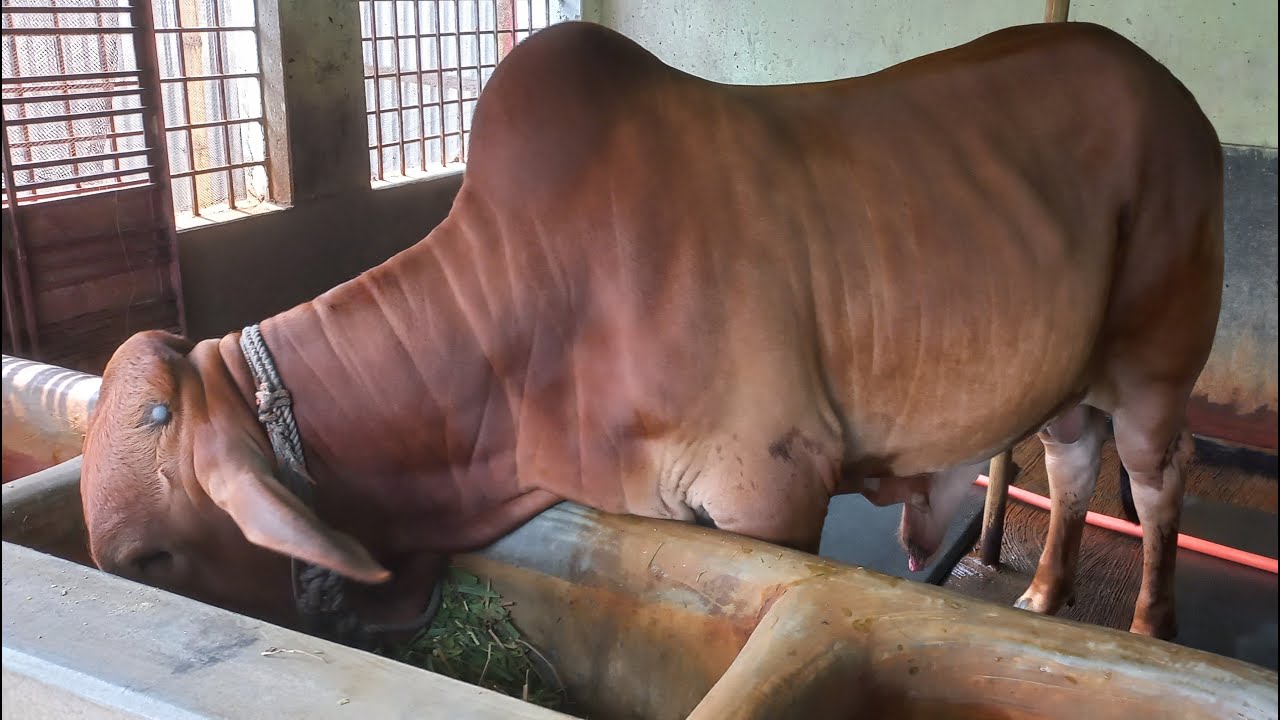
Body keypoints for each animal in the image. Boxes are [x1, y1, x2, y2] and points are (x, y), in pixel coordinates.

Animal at [80, 20, 1222, 643]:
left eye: (149, 558)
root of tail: (1170, 93)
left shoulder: (770, 484)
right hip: (1069, 374)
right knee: (1071, 467)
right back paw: (1042, 593)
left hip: (1157, 359)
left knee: (1156, 479)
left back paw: (1150, 625)